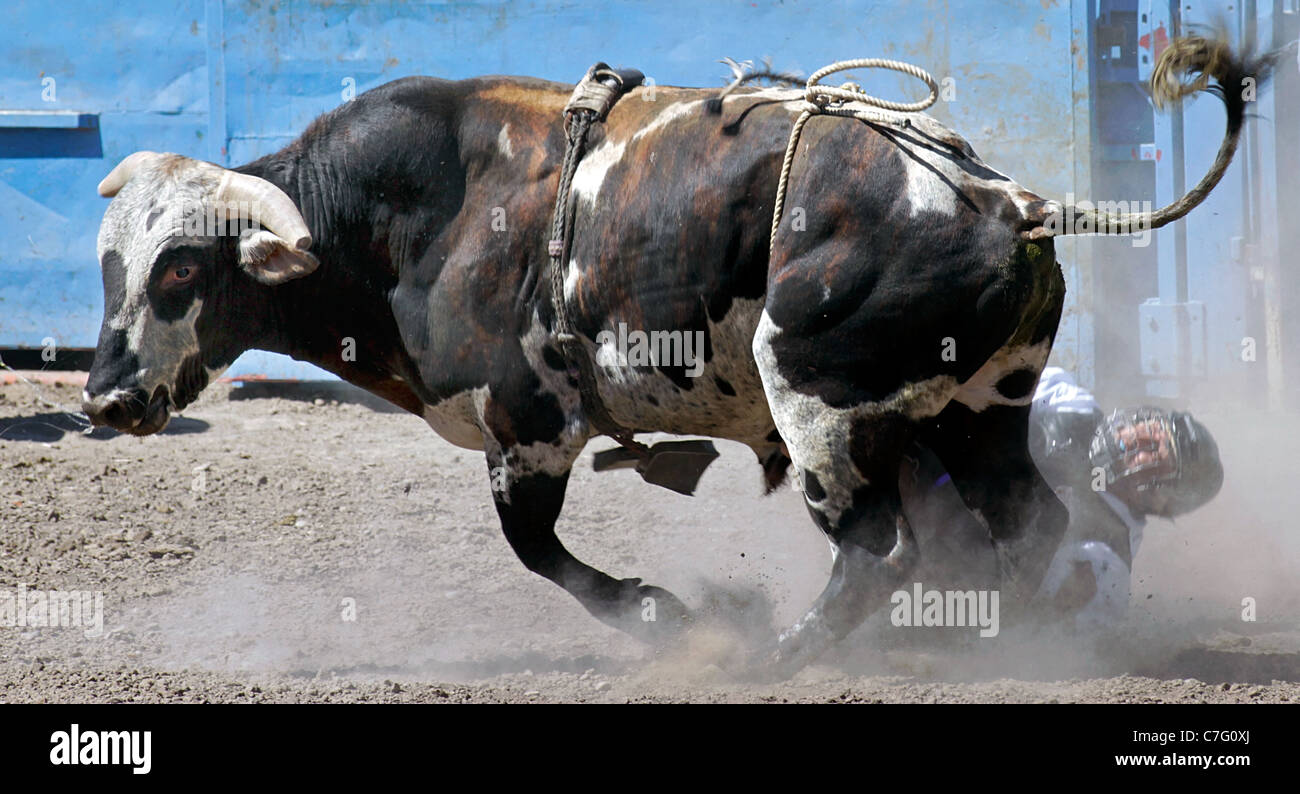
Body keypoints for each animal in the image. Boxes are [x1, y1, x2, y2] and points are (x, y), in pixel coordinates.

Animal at [81, 36, 1263, 674]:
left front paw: (660, 616)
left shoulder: (528, 427)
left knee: (876, 548)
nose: (103, 398)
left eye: (179, 271)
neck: (417, 218)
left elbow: (537, 551)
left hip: (821, 400)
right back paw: (1013, 646)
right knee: (1031, 522)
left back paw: (779, 659)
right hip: (982, 408)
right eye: (109, 264)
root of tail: (1007, 201)